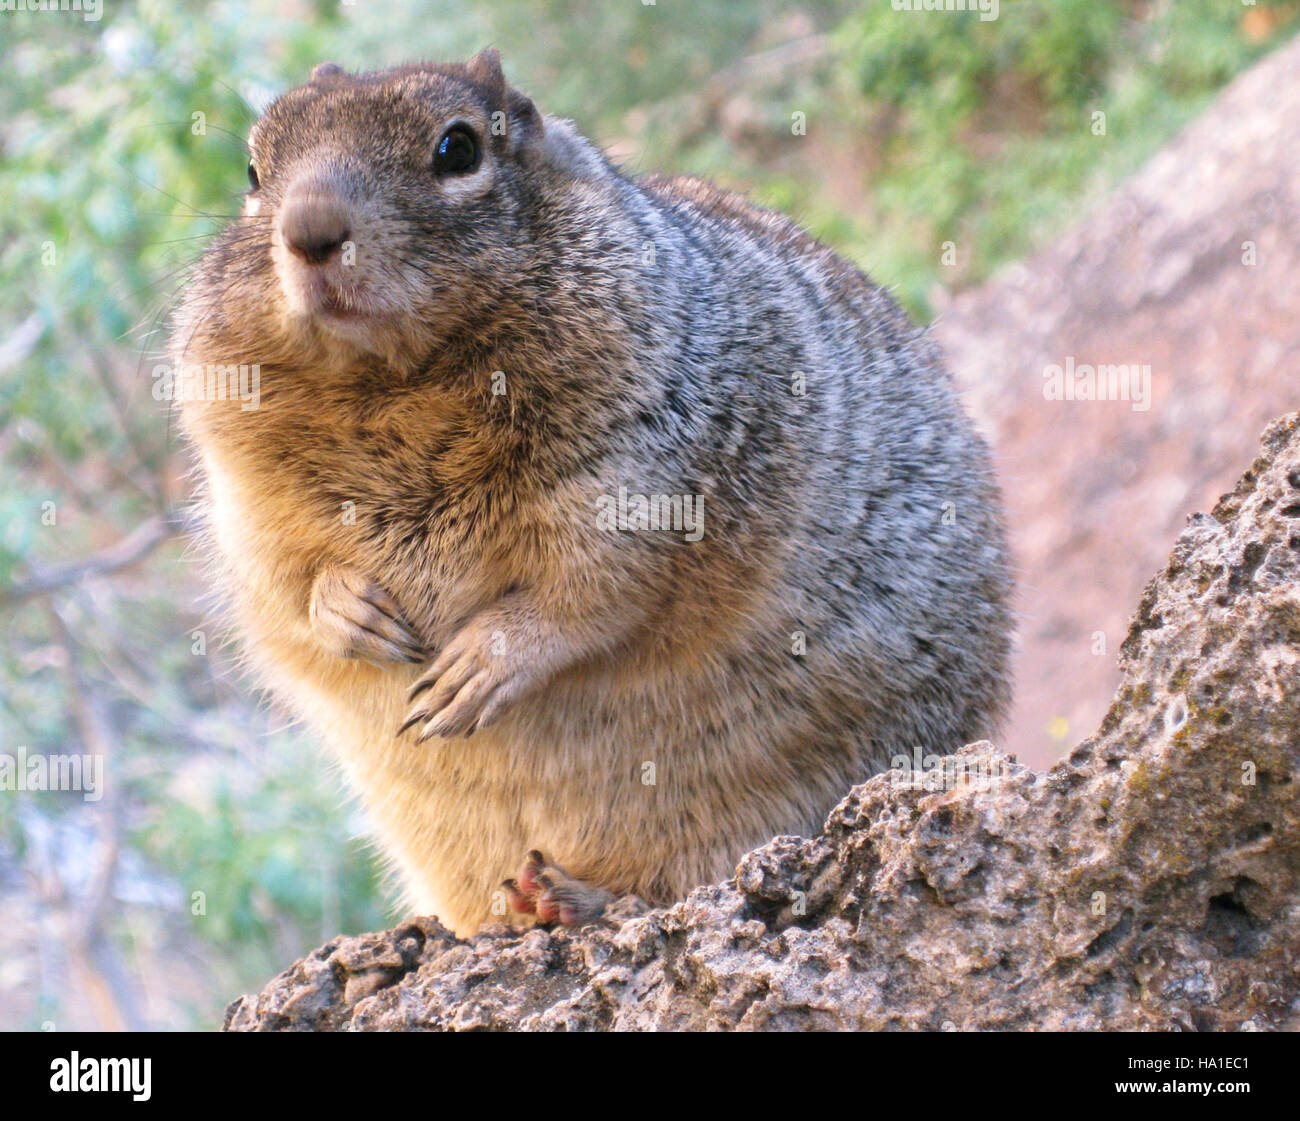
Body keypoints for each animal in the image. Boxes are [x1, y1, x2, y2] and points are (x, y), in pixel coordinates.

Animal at [172, 50, 1013, 936]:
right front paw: (352, 614)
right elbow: (286, 587)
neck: (393, 384)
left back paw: (572, 895)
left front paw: (475, 668)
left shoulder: (642, 480)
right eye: (253, 170)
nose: (309, 232)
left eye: (458, 148)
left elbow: (594, 595)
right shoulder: (248, 509)